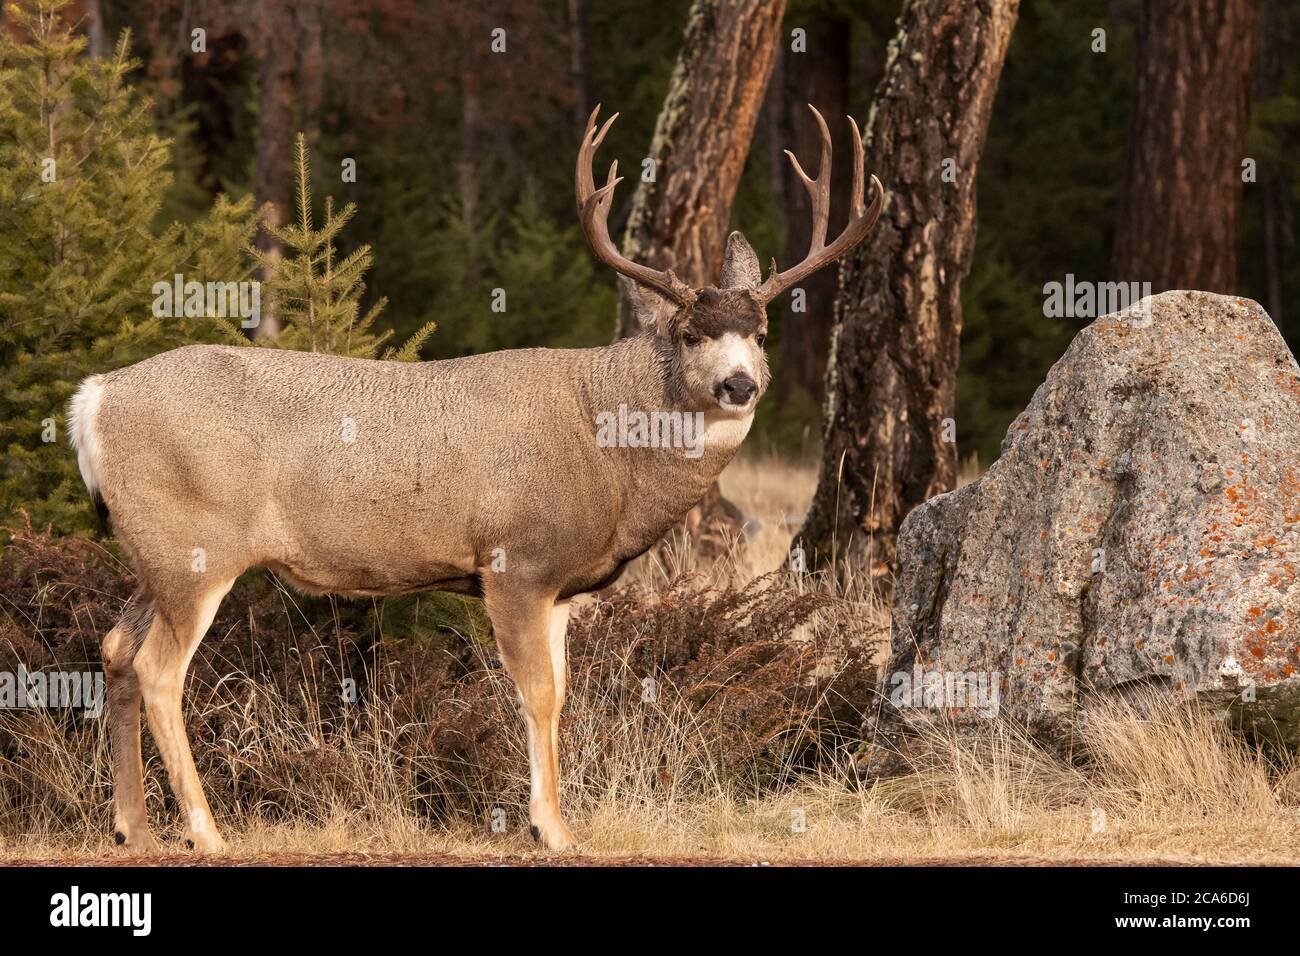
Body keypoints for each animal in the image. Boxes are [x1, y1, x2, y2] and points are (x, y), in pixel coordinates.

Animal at [68, 104, 882, 852]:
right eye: (689, 334)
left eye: (761, 332)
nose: (739, 384)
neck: (608, 447)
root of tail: (93, 398)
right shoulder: (514, 559)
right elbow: (538, 693)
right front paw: (552, 829)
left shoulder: (561, 585)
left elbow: (560, 695)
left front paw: (555, 819)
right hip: (196, 547)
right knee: (158, 669)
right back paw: (205, 833)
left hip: (154, 552)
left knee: (114, 651)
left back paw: (133, 828)